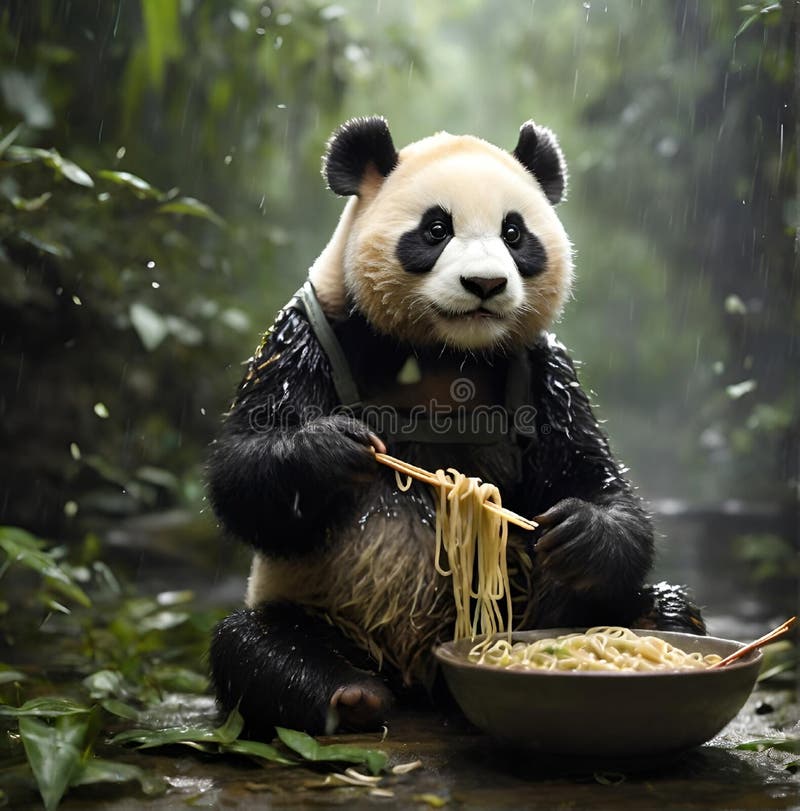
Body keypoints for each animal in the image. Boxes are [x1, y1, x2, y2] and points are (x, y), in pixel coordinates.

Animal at [208, 117, 705, 738]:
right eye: (436, 229)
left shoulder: (543, 368)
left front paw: (577, 530)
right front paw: (332, 448)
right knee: (253, 644)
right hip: (319, 605)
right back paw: (347, 693)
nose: (486, 284)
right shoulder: (308, 332)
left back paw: (657, 629)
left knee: (658, 606)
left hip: (529, 606)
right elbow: (244, 472)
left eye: (514, 233)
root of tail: (420, 675)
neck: (443, 351)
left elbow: (590, 473)